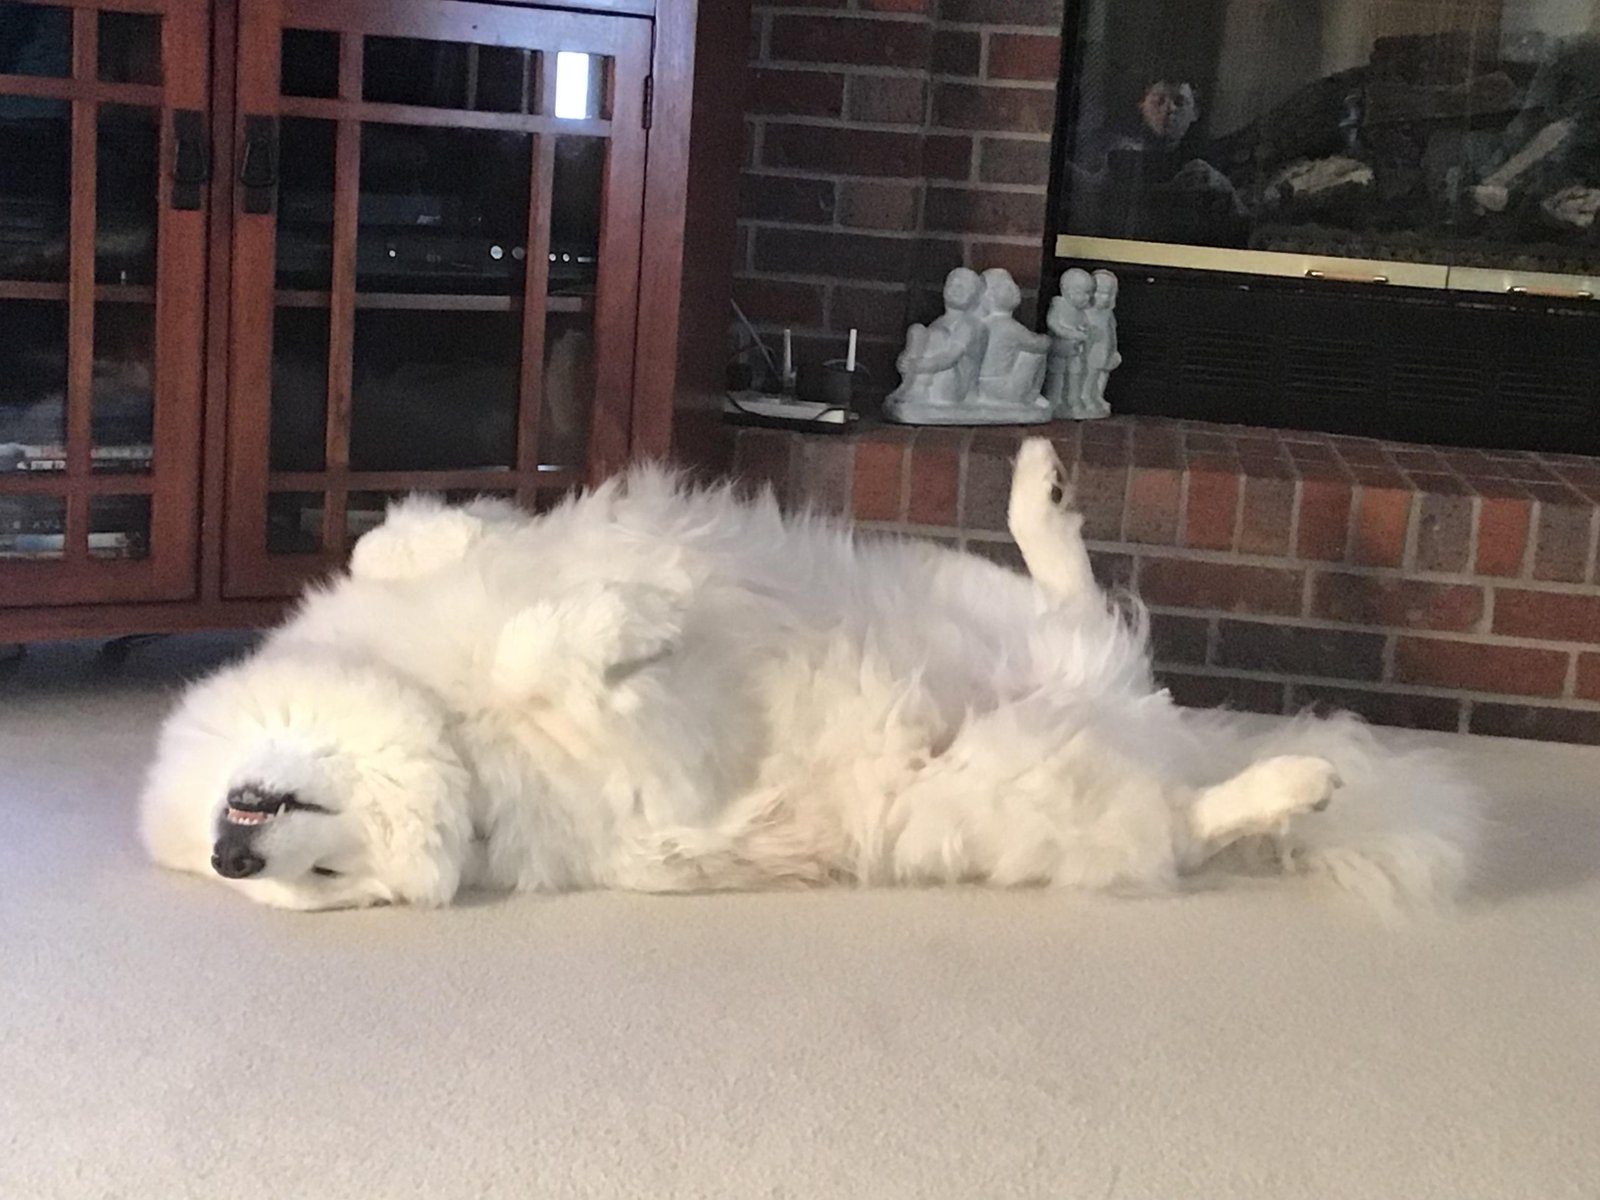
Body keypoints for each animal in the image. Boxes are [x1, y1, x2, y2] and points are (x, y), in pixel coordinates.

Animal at [144, 441, 1478, 908]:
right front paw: (634, 617)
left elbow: (412, 543)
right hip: (1004, 792)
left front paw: (612, 595)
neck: (443, 726)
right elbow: (562, 656)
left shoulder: (434, 582)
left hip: (965, 595)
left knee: (1077, 598)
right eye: (324, 888)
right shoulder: (660, 776)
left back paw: (1038, 481)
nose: (229, 859)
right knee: (1188, 821)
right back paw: (1293, 782)